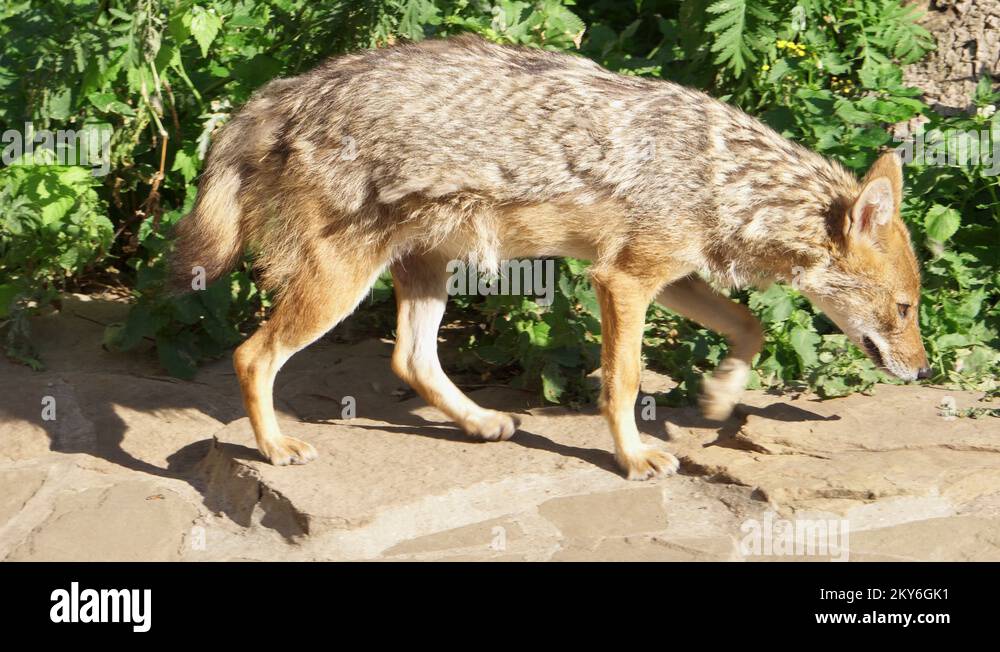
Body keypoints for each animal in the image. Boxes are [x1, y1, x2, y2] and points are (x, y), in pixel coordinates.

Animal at [170, 35, 930, 480]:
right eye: (904, 309)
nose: (924, 372)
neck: (724, 179)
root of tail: (288, 89)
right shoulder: (622, 280)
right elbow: (622, 382)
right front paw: (634, 456)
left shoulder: (669, 278)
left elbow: (753, 326)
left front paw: (718, 398)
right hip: (341, 285)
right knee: (252, 355)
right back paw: (274, 449)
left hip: (428, 271)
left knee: (409, 360)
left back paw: (481, 423)